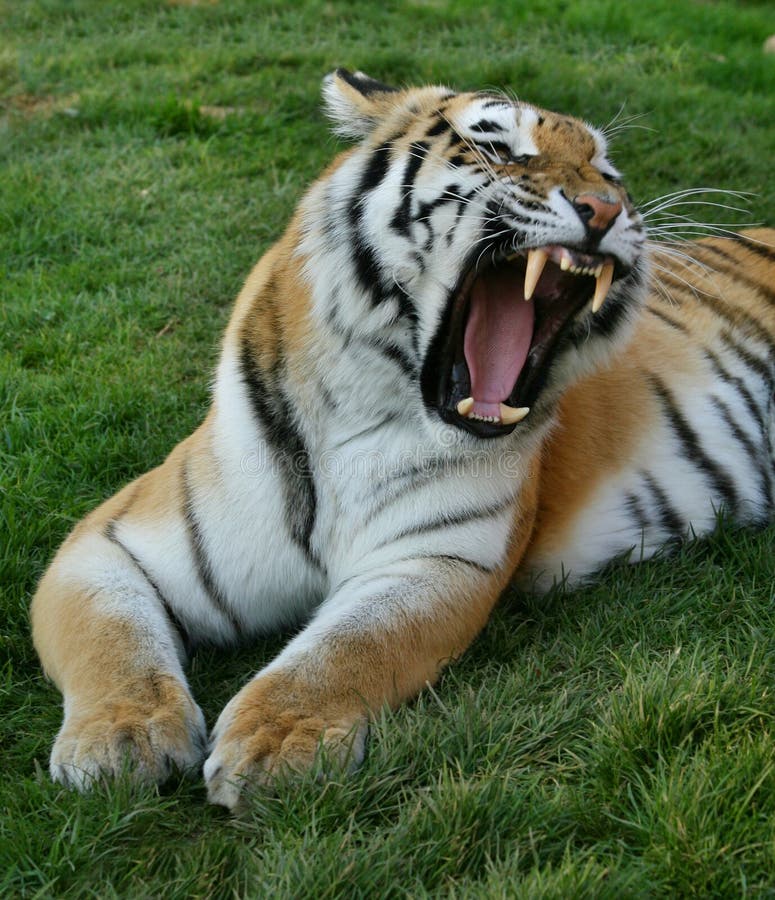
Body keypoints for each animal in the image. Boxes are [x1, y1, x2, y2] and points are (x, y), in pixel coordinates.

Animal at [31, 69, 775, 813]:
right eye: (498, 147)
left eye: (608, 171)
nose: (604, 209)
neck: (358, 414)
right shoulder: (106, 544)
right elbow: (111, 637)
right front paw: (119, 738)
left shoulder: (440, 559)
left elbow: (346, 649)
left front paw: (275, 741)